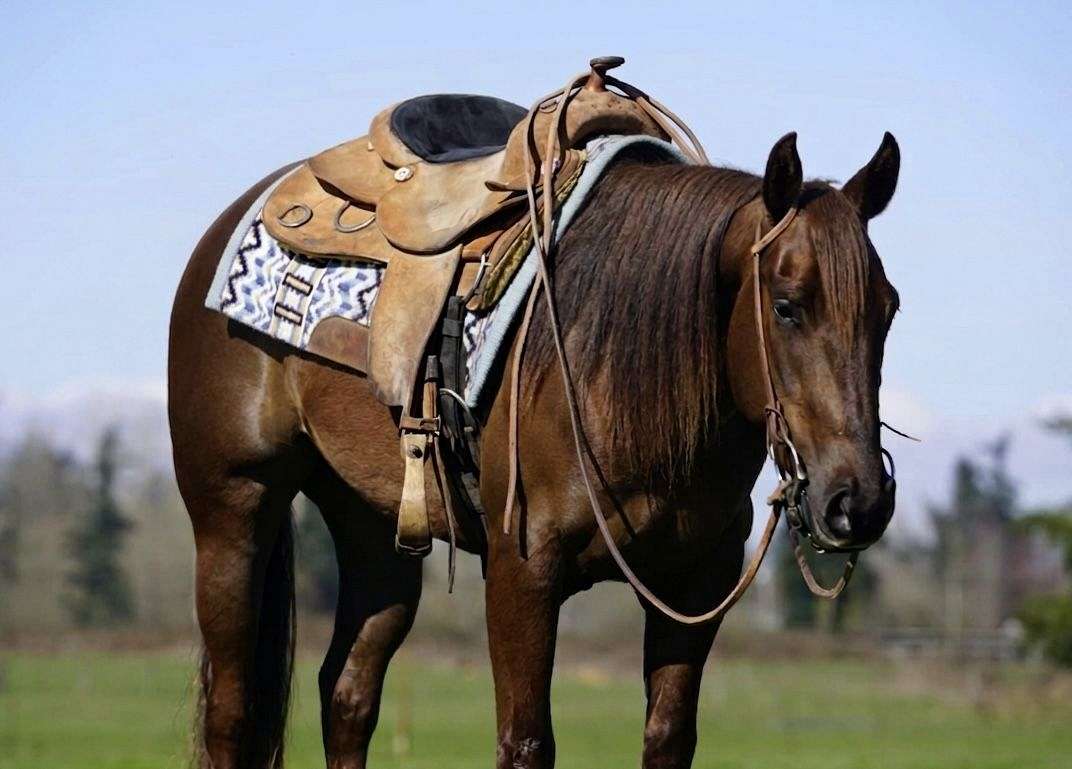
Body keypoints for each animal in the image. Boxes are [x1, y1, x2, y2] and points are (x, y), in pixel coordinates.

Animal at [168, 128, 901, 769]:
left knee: (347, 696)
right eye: (786, 305)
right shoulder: (523, 572)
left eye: (888, 309)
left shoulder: (695, 584)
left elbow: (667, 738)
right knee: (231, 710)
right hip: (234, 514)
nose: (858, 501)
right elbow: (524, 743)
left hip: (375, 532)